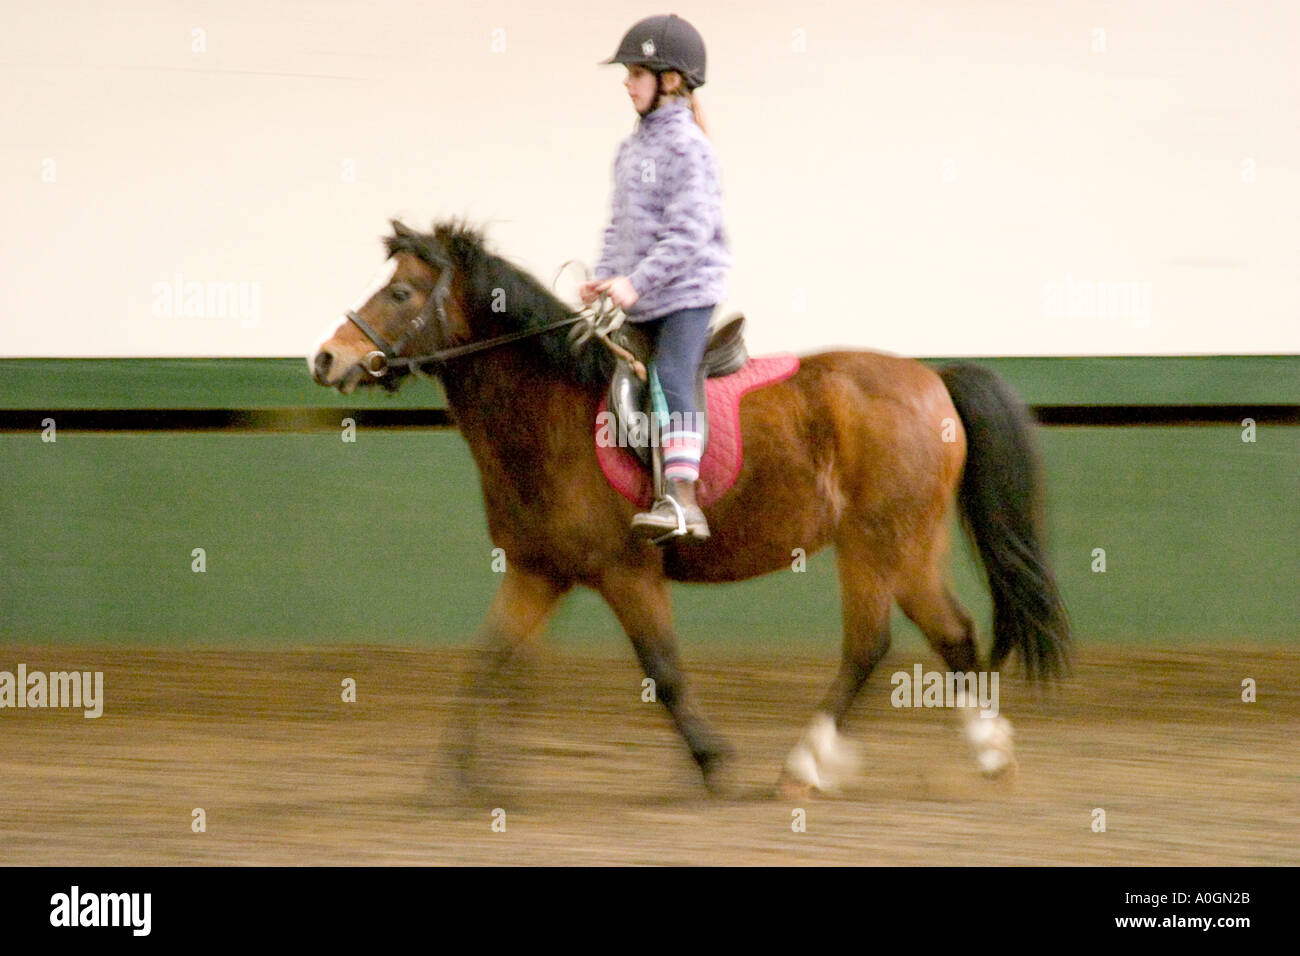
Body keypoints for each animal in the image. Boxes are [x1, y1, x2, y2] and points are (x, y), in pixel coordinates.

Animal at [309, 219, 1070, 796]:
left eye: (401, 291)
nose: (326, 359)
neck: (549, 409)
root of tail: (933, 379)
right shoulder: (537, 573)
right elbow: (490, 659)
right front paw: (457, 776)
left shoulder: (626, 572)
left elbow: (664, 670)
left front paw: (713, 761)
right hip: (908, 547)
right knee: (953, 632)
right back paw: (990, 750)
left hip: (874, 543)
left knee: (870, 645)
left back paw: (807, 765)